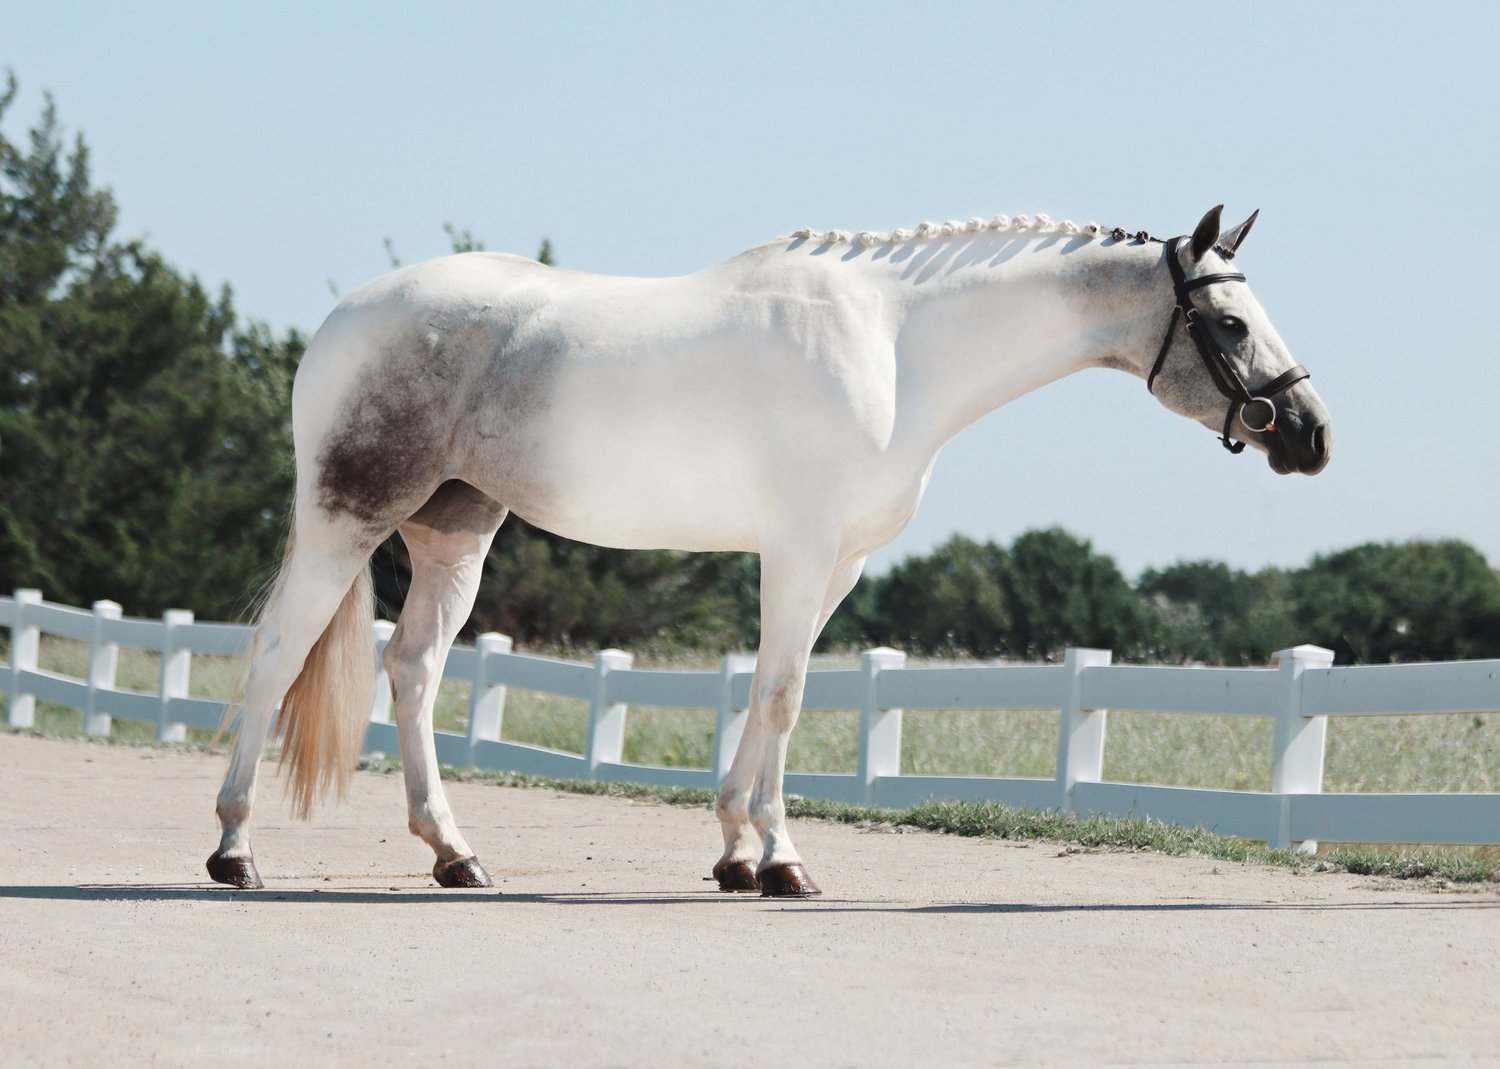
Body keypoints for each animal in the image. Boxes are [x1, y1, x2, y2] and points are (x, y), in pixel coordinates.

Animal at [207, 204, 1332, 895]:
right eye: (1231, 322)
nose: (1310, 434)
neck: (896, 348)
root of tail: (343, 320)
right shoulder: (799, 546)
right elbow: (786, 695)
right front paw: (783, 859)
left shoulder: (837, 562)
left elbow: (768, 689)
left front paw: (737, 855)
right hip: (347, 520)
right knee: (274, 659)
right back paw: (235, 851)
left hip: (455, 533)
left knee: (414, 670)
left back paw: (456, 856)